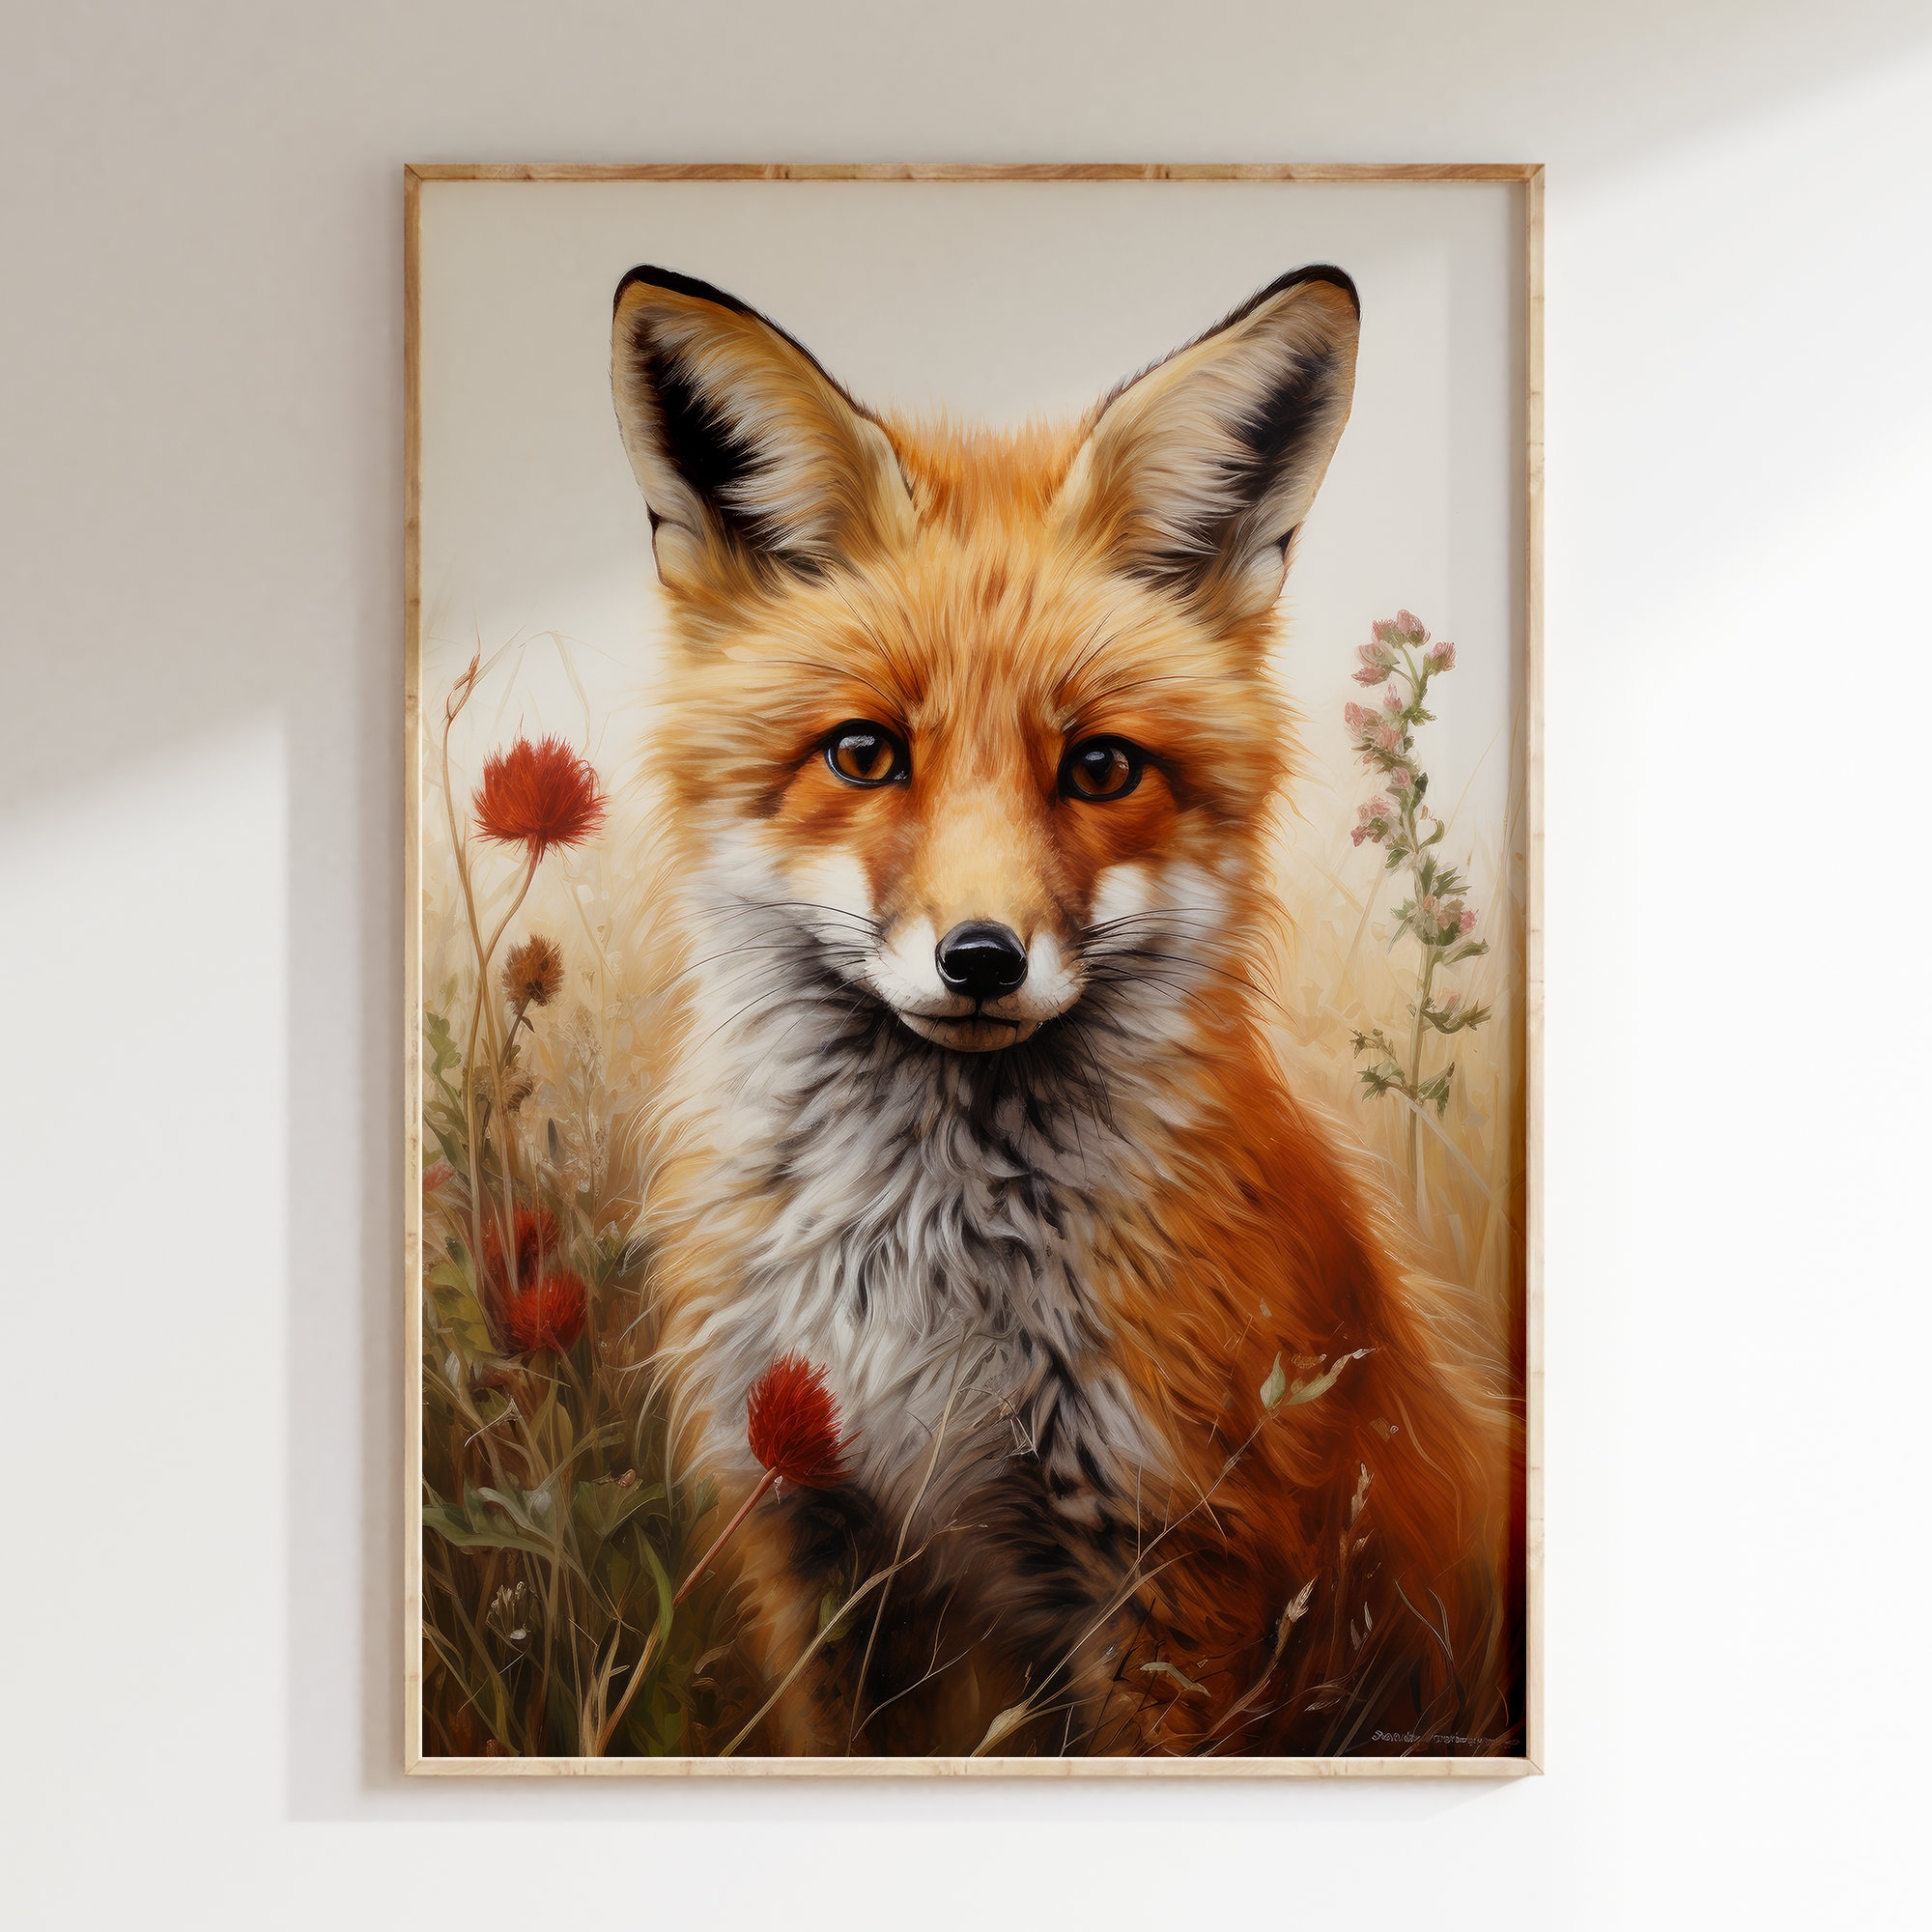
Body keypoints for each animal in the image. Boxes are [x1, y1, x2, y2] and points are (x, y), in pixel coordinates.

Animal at [609, 262, 1521, 1757]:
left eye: (1099, 767)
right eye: (863, 754)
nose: (981, 960)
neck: (916, 1269)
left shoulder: (1179, 1573)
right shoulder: (815, 1539)